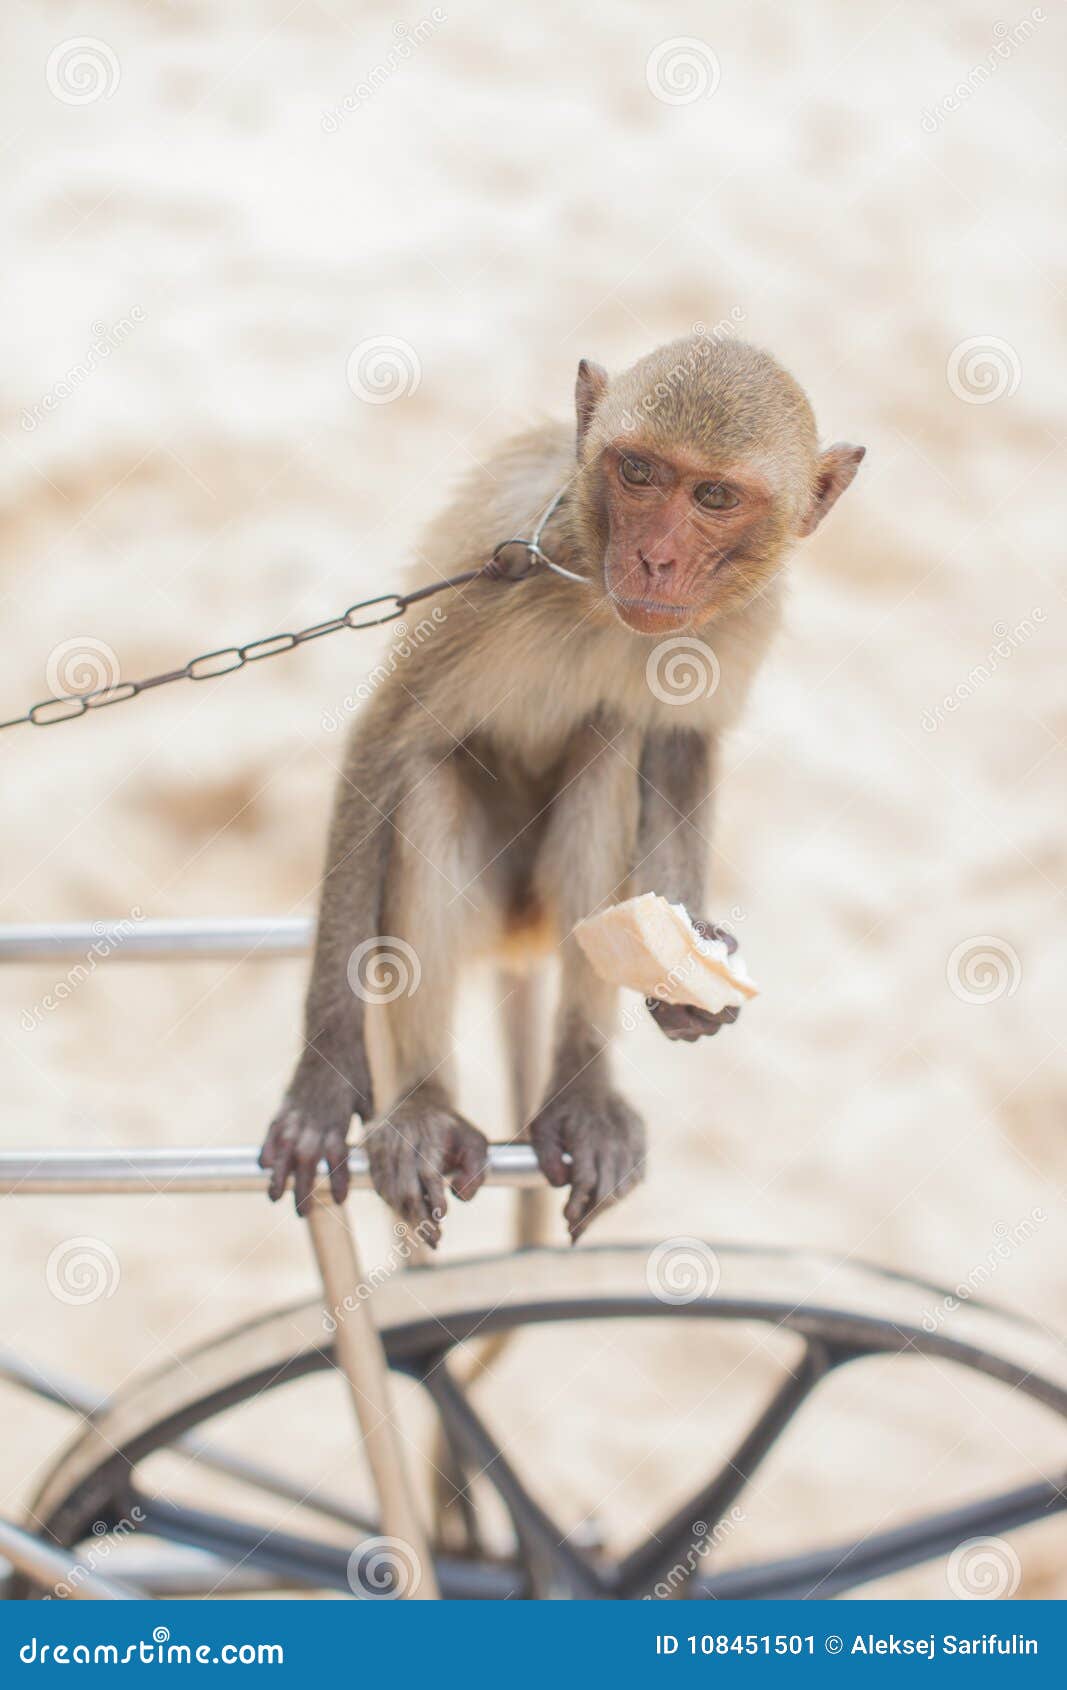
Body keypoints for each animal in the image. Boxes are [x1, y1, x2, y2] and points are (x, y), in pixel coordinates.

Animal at [259, 333, 864, 1242]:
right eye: (639, 472)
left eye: (714, 495)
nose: (654, 559)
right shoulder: (496, 572)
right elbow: (384, 743)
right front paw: (325, 1078)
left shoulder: (740, 617)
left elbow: (678, 745)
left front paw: (688, 957)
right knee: (431, 776)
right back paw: (426, 1107)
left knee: (609, 741)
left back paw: (582, 1090)